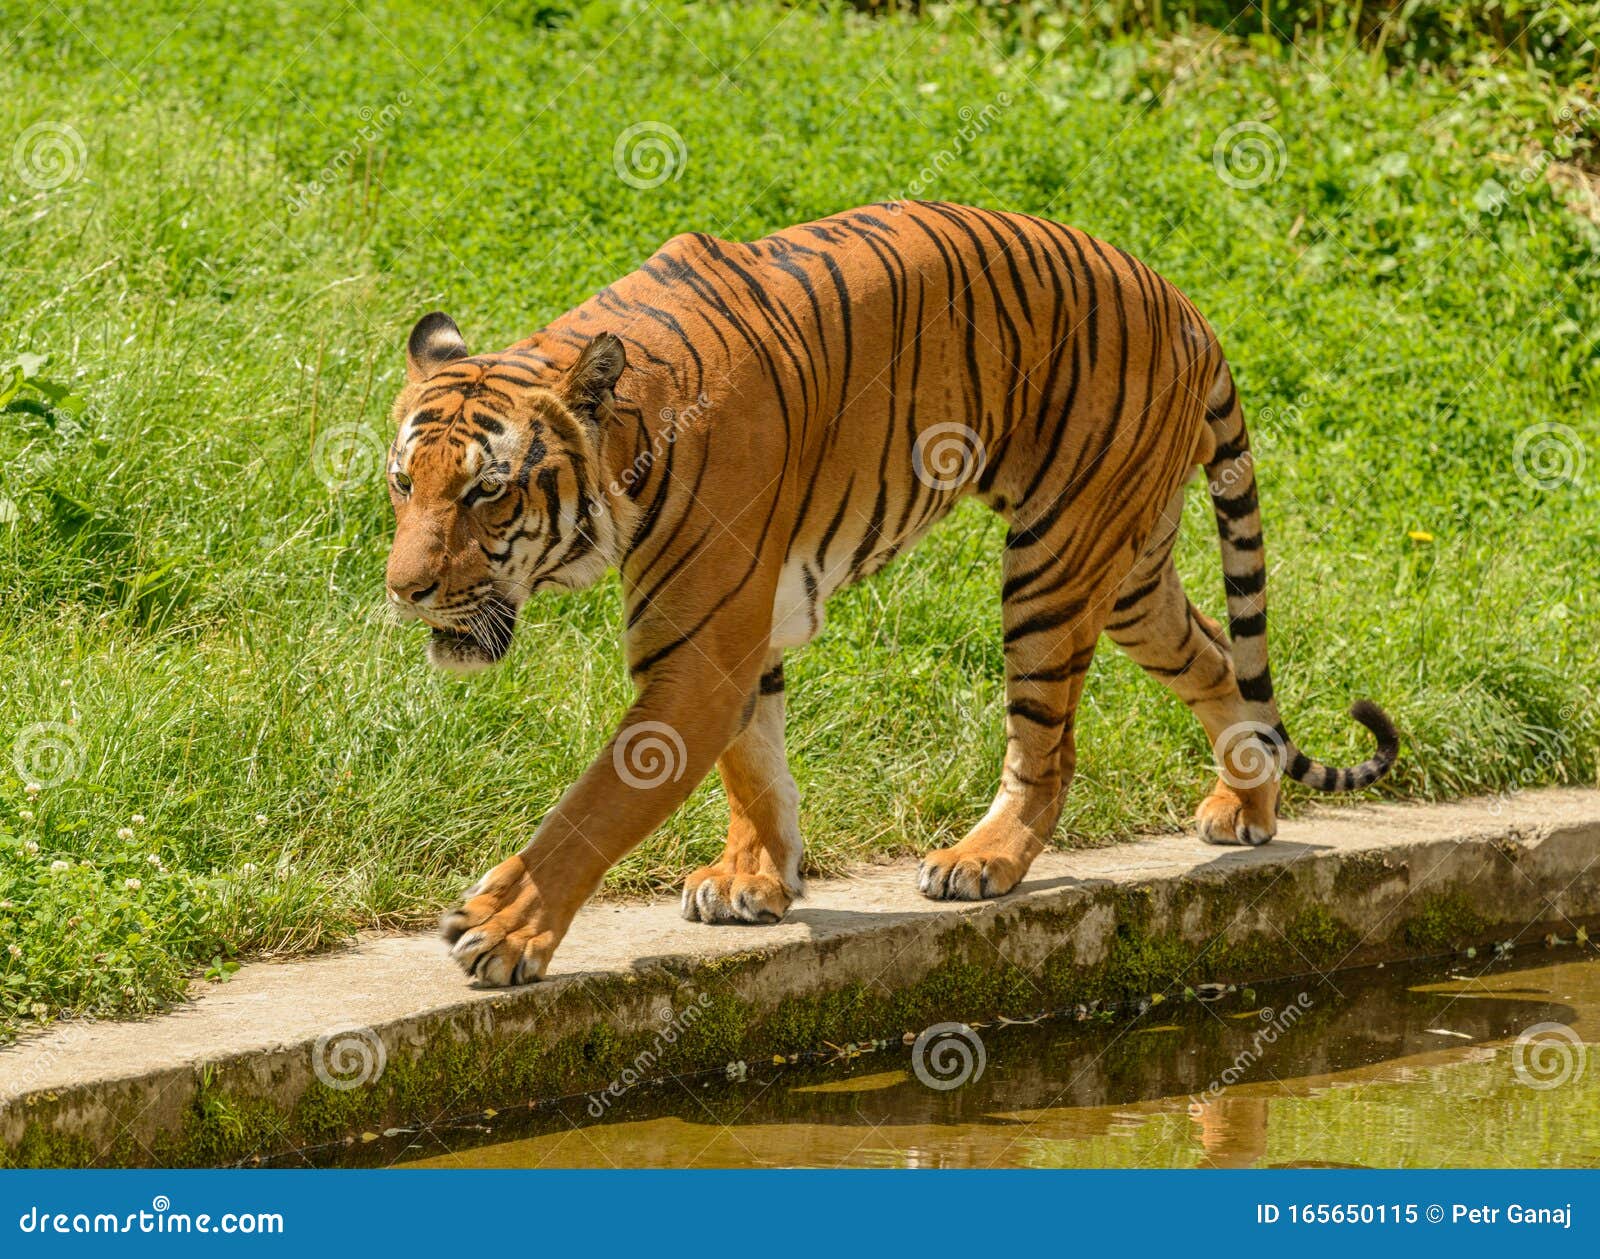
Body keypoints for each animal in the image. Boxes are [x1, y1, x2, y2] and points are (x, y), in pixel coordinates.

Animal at [384, 201, 1398, 987]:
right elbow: (754, 764)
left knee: (1048, 748)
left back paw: (980, 860)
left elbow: (593, 807)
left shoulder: (699, 650)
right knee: (1218, 653)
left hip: (1055, 560)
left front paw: (504, 926)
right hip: (1130, 570)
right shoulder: (742, 632)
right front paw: (754, 880)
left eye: (487, 491)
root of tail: (1187, 303)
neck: (632, 441)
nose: (405, 589)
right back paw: (1247, 808)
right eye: (403, 483)